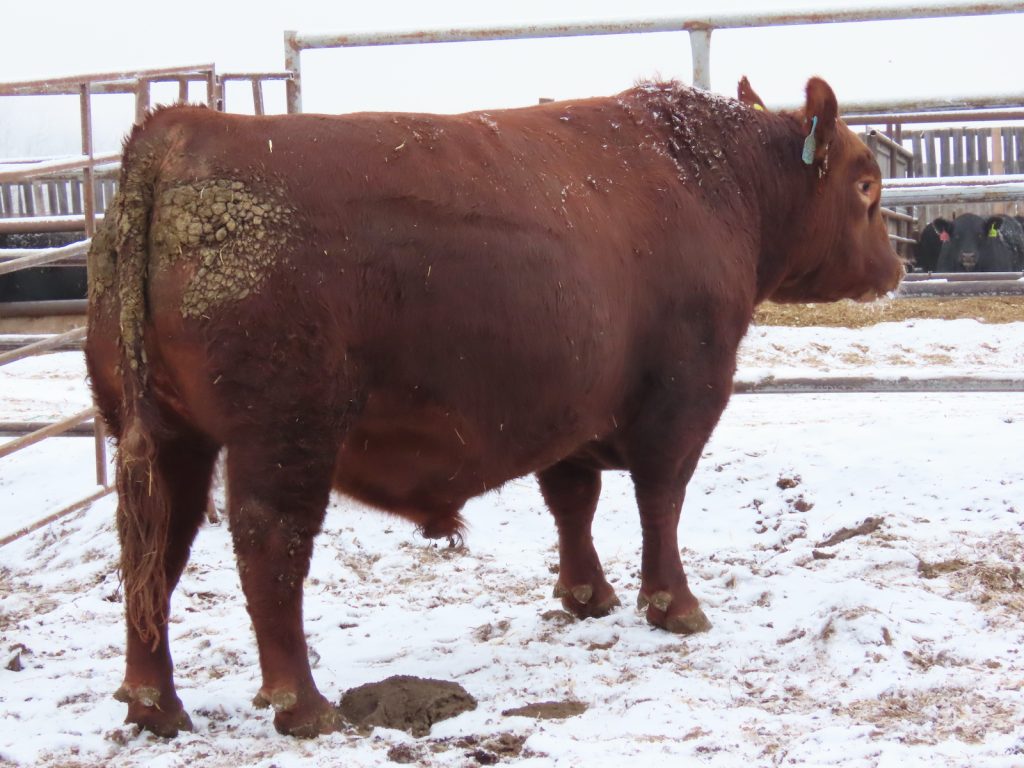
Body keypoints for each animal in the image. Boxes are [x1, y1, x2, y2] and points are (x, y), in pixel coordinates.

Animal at [85, 75, 903, 738]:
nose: (897, 265)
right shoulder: (684, 398)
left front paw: (587, 594)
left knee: (153, 549)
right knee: (268, 549)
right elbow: (661, 501)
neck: (712, 183)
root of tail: (178, 129)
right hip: (285, 435)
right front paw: (675, 606)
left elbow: (573, 500)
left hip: (163, 437)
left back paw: (154, 703)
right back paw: (303, 704)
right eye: (866, 186)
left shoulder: (570, 411)